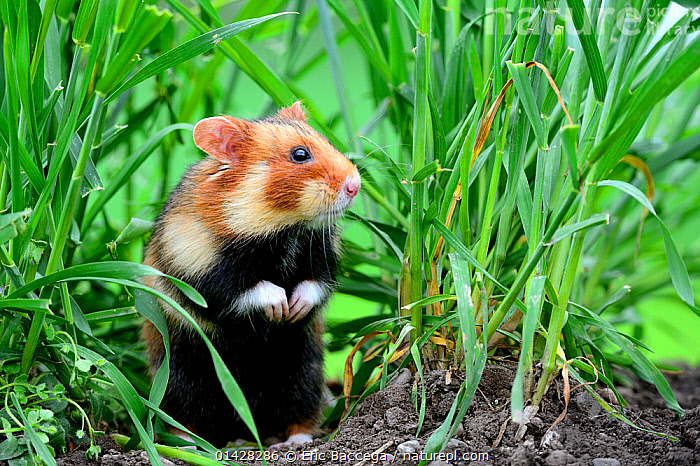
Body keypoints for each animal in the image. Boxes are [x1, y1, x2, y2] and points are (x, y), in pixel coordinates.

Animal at [141, 102, 360, 447]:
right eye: (300, 155)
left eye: (325, 142)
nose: (356, 185)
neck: (280, 227)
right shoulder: (202, 270)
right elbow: (248, 290)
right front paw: (280, 308)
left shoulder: (322, 255)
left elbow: (315, 285)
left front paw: (293, 310)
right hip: (183, 374)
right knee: (185, 413)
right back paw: (187, 443)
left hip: (302, 369)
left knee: (299, 410)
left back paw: (295, 441)